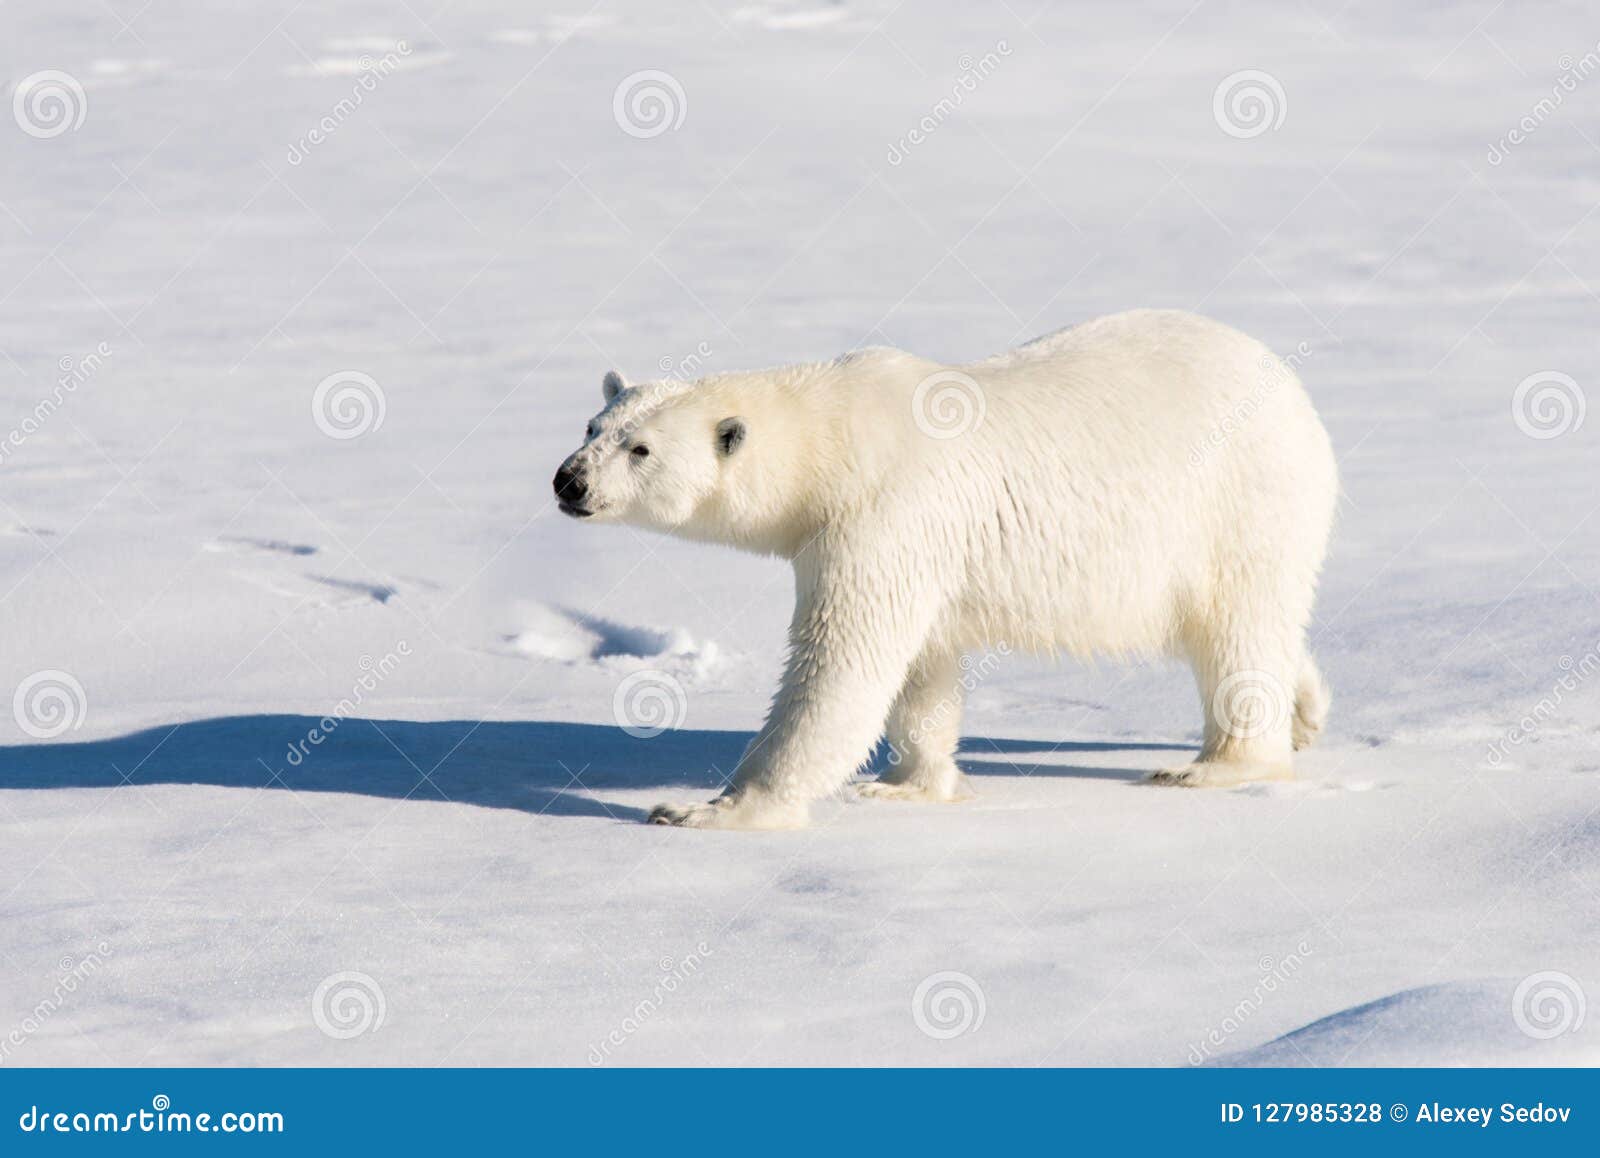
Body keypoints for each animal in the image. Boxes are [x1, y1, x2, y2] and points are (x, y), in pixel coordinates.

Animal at [552, 309, 1338, 829]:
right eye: (593, 427)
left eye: (641, 450)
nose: (569, 481)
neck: (832, 441)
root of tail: (1296, 396)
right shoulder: (906, 547)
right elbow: (921, 668)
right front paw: (905, 784)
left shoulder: (879, 516)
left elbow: (841, 666)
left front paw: (710, 808)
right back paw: (1306, 713)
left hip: (1236, 503)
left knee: (1236, 629)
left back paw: (1211, 766)